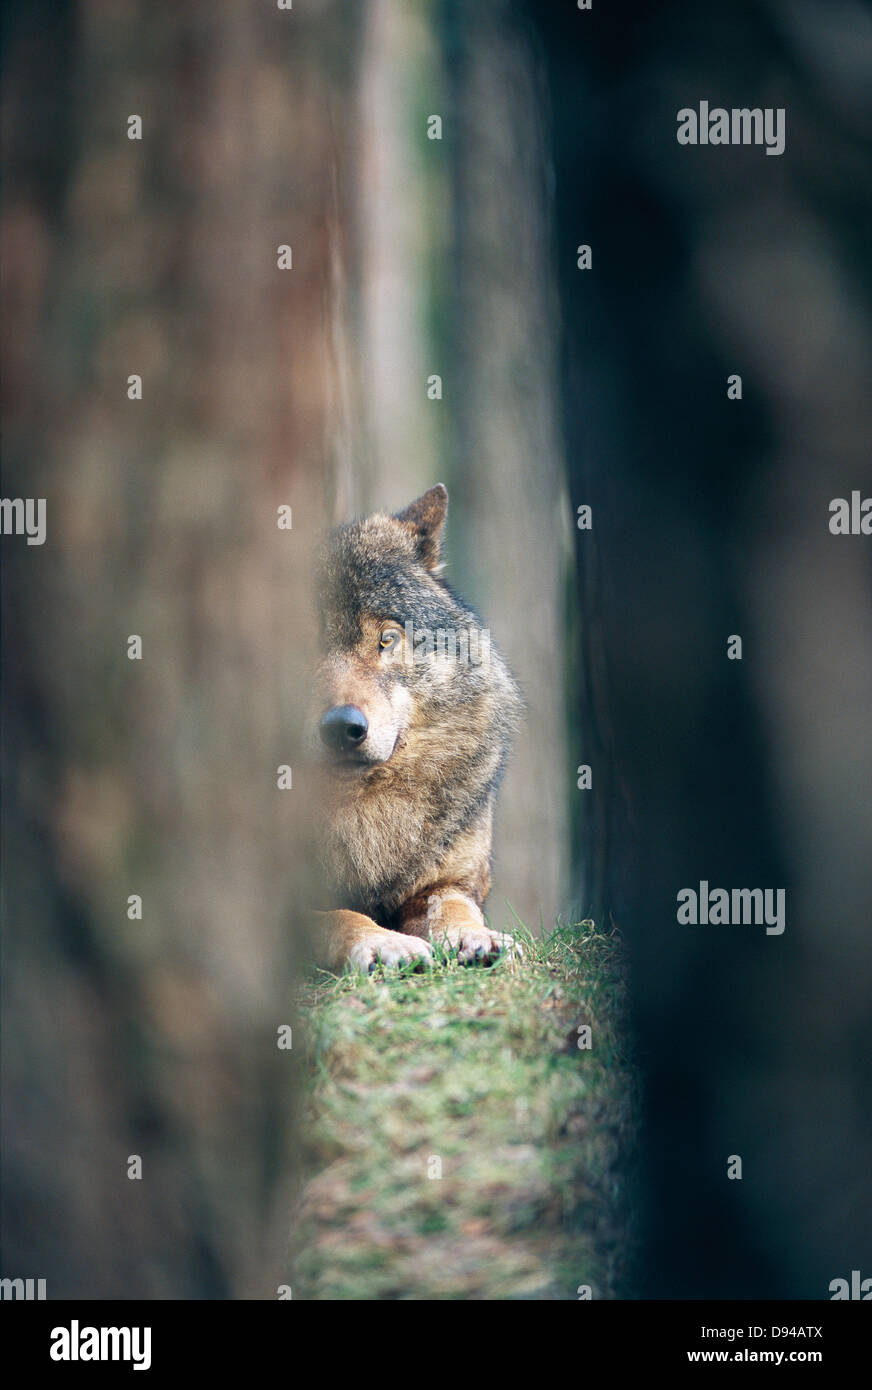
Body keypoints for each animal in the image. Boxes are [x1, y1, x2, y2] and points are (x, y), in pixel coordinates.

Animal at [307, 484, 524, 972]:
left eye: (387, 639)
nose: (343, 727)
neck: (364, 811)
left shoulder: (450, 882)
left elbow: (453, 907)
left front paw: (478, 937)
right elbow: (341, 914)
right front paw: (384, 942)